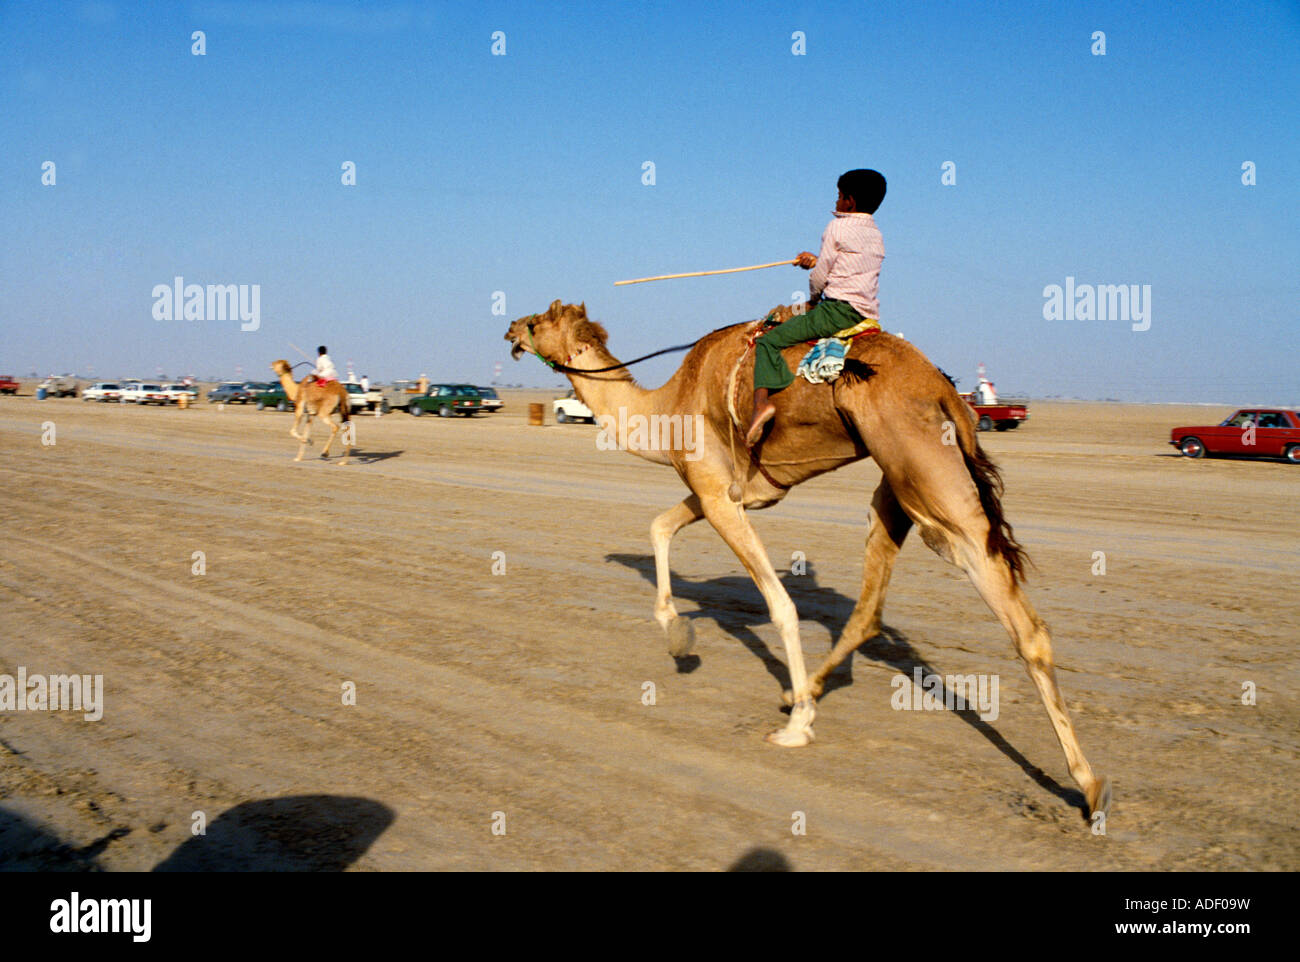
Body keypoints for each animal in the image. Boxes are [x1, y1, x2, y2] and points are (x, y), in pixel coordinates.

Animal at [505, 300, 1111, 818]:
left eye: (537, 320)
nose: (510, 328)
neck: (667, 407)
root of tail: (947, 392)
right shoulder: (718, 492)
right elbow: (658, 526)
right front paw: (678, 636)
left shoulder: (716, 493)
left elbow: (781, 606)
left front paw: (797, 728)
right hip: (899, 487)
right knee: (882, 611)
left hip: (924, 474)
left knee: (1007, 609)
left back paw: (1086, 785)